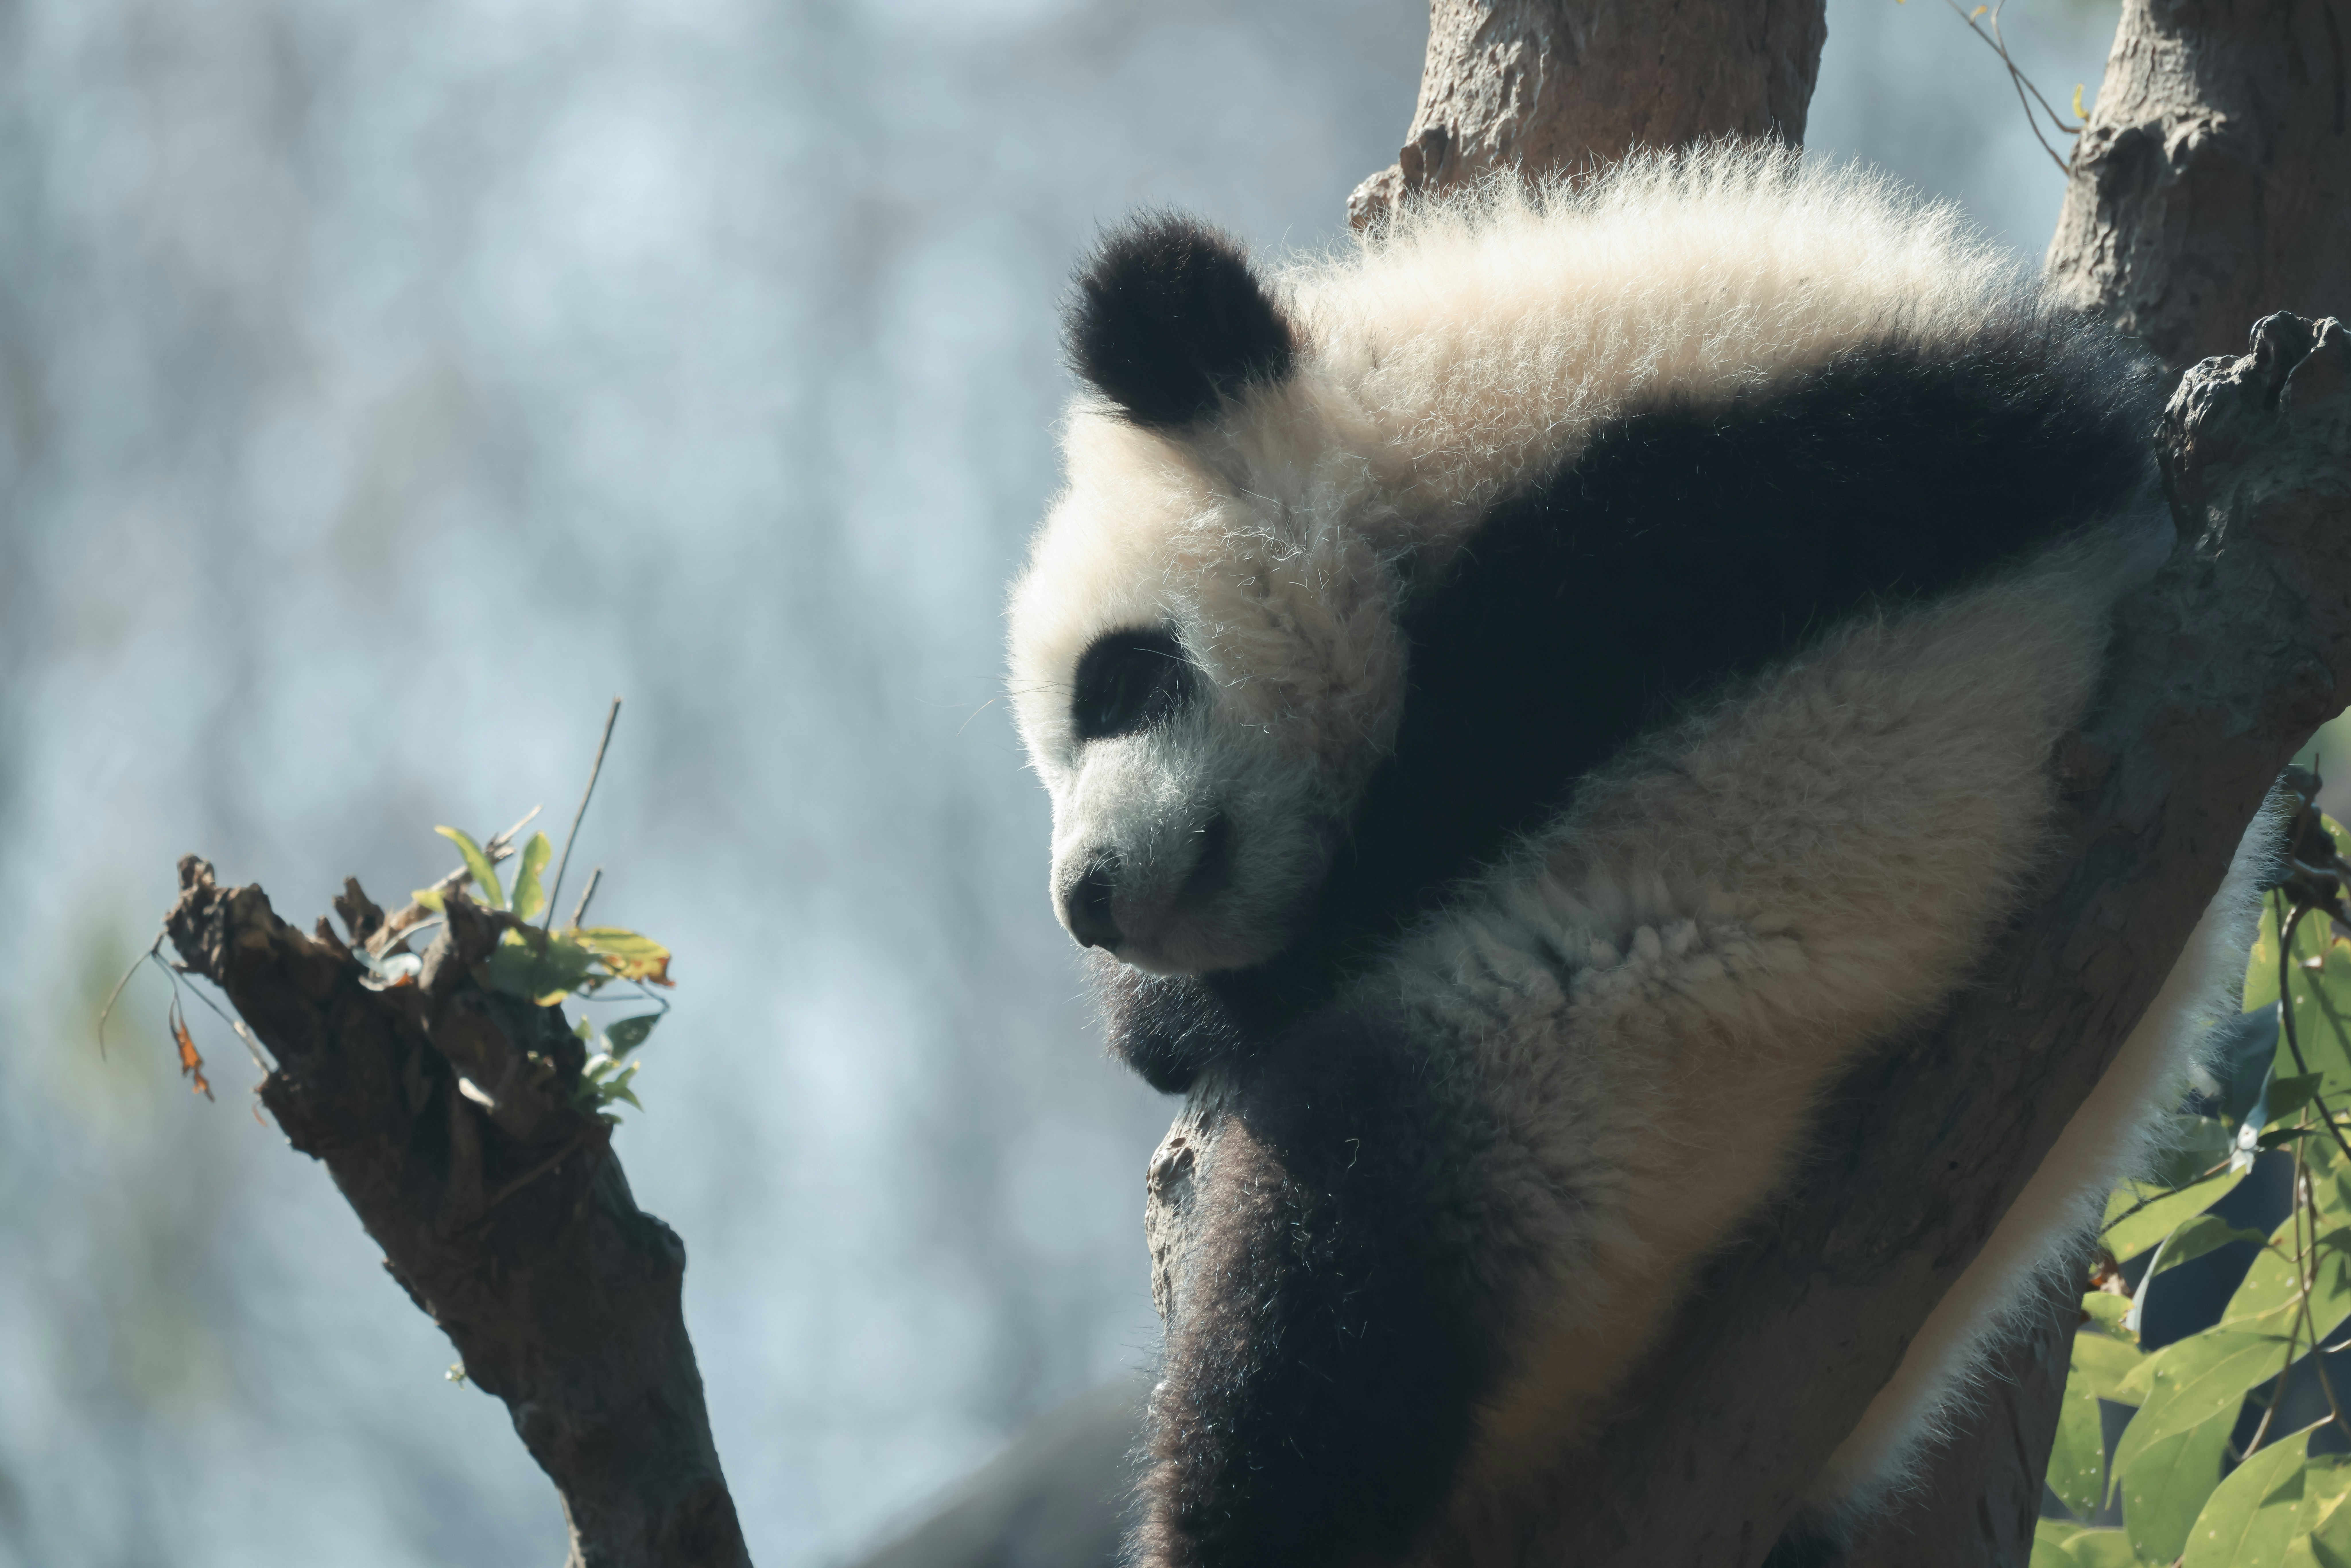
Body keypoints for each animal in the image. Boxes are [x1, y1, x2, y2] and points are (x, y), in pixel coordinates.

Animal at [1004, 144, 2273, 1568]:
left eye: (1119, 679)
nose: (1088, 901)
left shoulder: (1721, 513)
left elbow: (1420, 825)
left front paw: (1173, 1018)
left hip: (1588, 1099)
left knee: (1340, 1265)